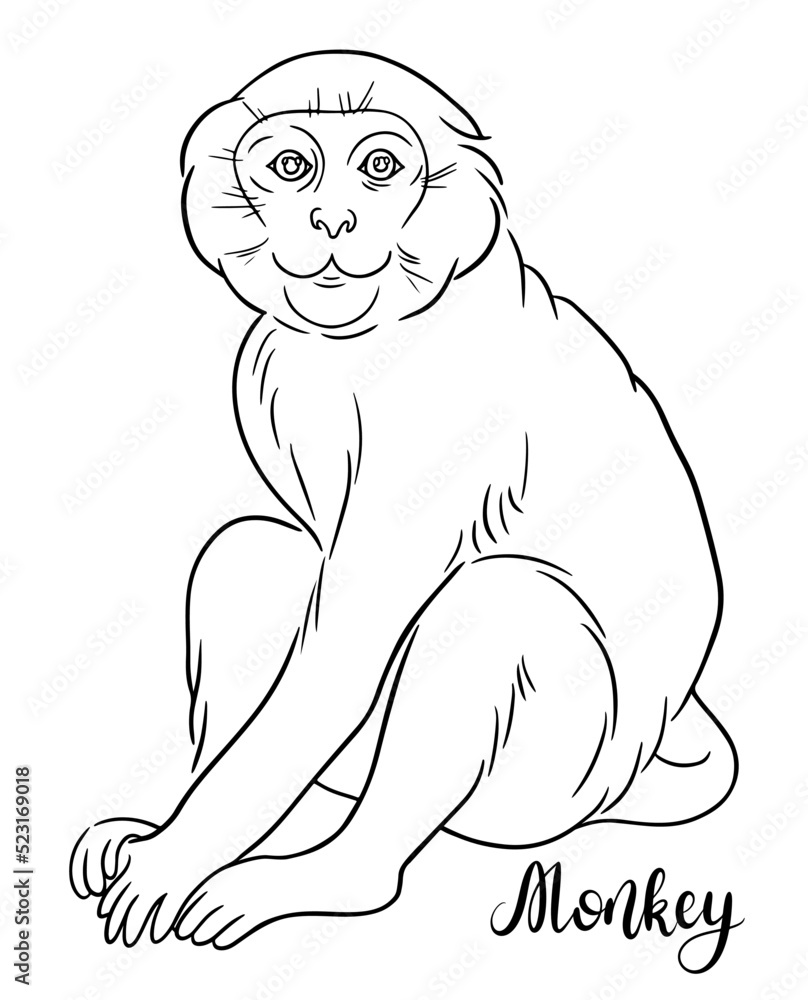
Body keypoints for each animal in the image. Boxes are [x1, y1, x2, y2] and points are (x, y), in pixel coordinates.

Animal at [69, 50, 738, 950]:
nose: (332, 220)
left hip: (552, 789)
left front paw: (173, 859)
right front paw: (168, 832)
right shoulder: (274, 368)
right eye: (292, 167)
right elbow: (312, 582)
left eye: (380, 167)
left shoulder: (451, 405)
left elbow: (358, 629)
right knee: (246, 555)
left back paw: (328, 877)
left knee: (503, 605)